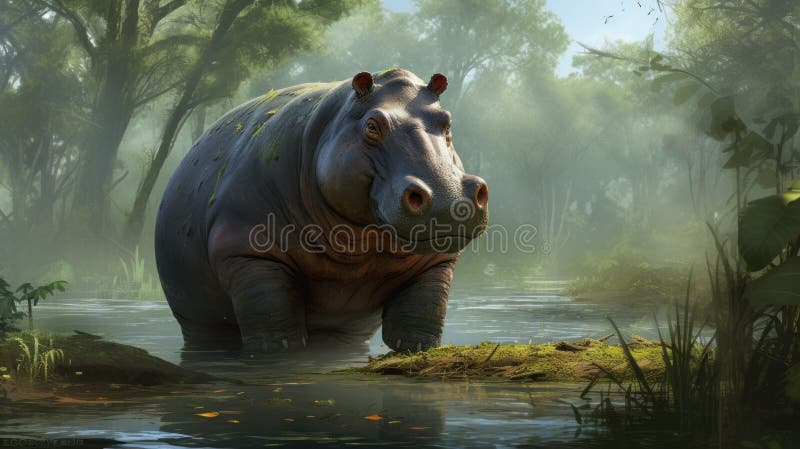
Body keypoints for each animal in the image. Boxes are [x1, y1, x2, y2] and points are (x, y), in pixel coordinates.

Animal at [155, 68, 488, 354]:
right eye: (372, 125)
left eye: (447, 121)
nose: (448, 198)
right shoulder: (246, 251)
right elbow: (274, 327)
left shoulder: (436, 263)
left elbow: (419, 328)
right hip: (198, 322)